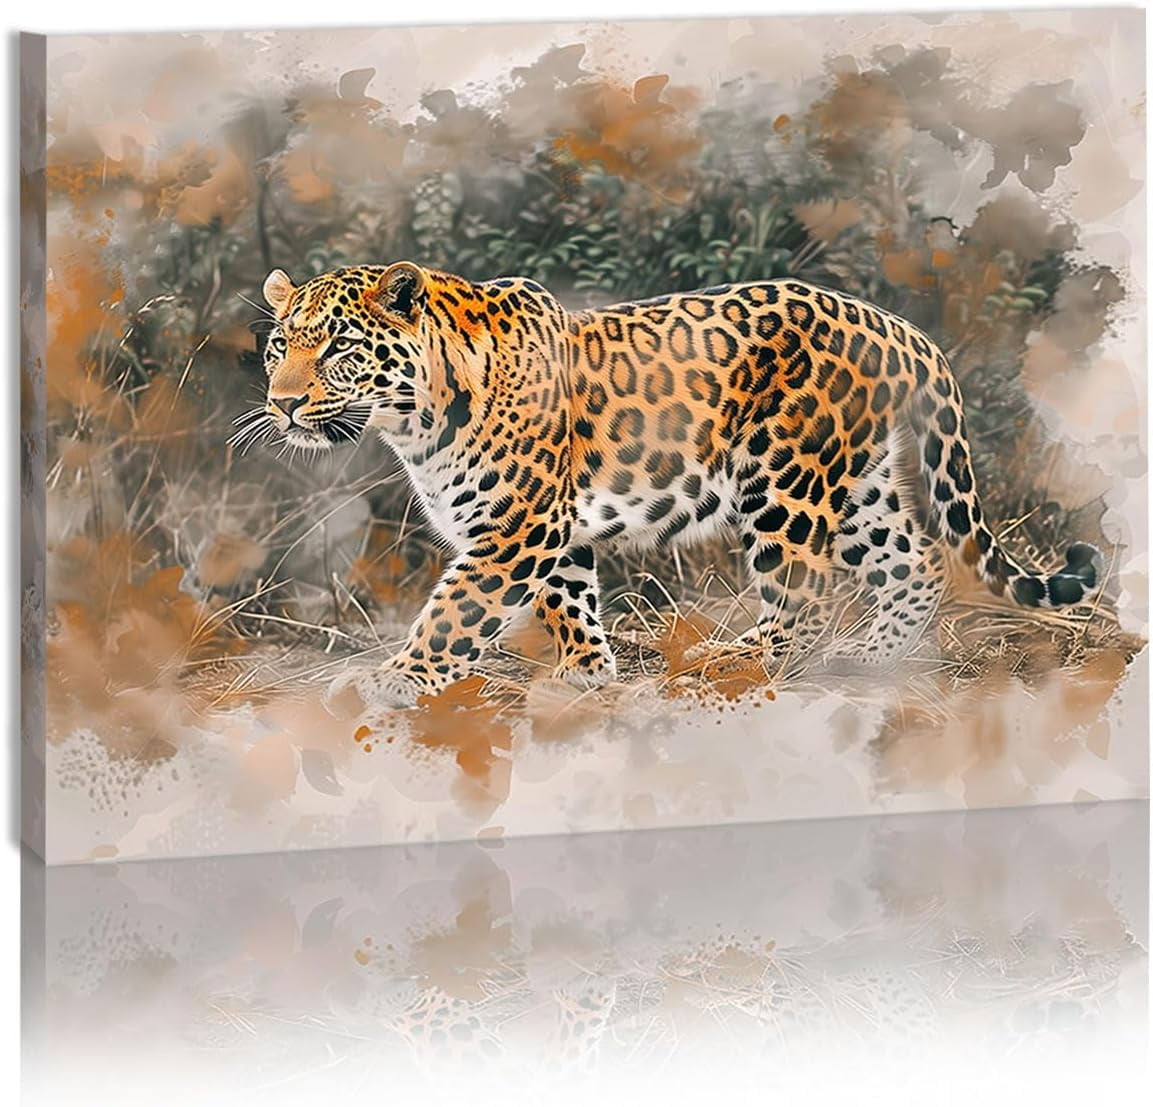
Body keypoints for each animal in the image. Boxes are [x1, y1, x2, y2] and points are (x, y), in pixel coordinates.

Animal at [246, 261, 1102, 711]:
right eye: (279, 346)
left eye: (339, 348)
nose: (281, 402)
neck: (414, 418)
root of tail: (897, 326)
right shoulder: (554, 528)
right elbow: (569, 599)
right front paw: (586, 670)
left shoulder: (514, 527)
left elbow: (454, 610)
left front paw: (396, 678)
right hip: (856, 484)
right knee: (916, 559)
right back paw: (872, 655)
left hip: (784, 479)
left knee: (804, 591)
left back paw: (736, 658)